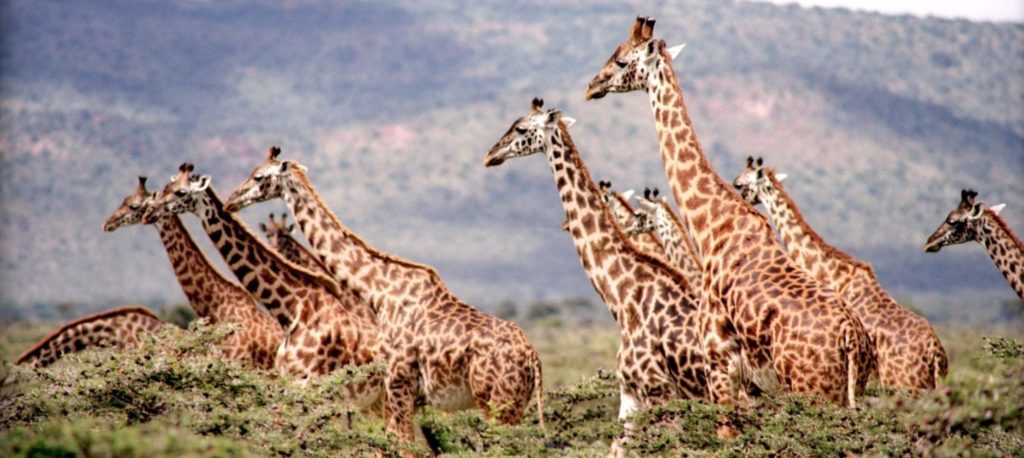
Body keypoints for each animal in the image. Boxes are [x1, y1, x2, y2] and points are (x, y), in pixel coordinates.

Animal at [222, 147, 544, 444]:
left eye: (259, 176)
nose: (230, 201)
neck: (381, 292)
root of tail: (533, 358)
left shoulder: (398, 383)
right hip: (512, 404)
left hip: (497, 402)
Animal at [484, 98, 707, 454]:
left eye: (520, 128)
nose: (491, 155)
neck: (623, 296)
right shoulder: (630, 394)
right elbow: (615, 449)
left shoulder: (659, 393)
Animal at [585, 17, 873, 413]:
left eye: (622, 61)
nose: (591, 87)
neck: (712, 224)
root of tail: (852, 338)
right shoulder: (745, 381)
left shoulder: (718, 357)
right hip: (849, 393)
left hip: (811, 389)